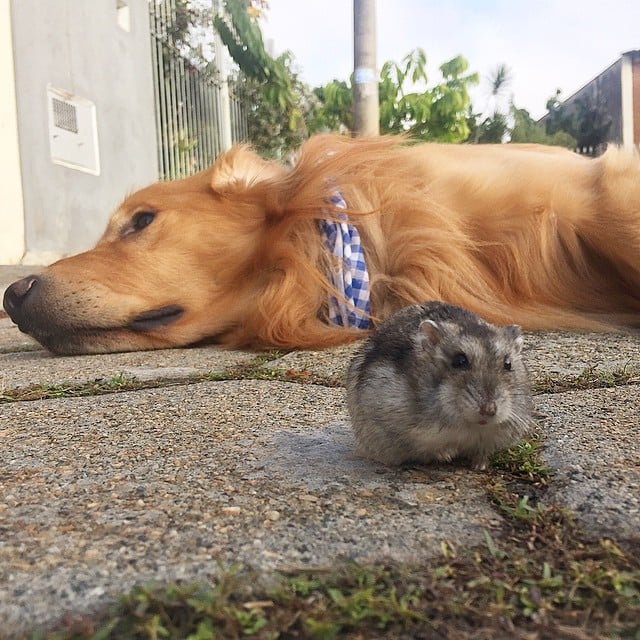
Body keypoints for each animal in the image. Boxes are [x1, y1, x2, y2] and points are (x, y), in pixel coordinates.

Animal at [346, 301, 534, 469]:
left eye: (508, 364)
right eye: (460, 360)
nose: (489, 410)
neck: (468, 425)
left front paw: (479, 465)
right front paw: (447, 455)